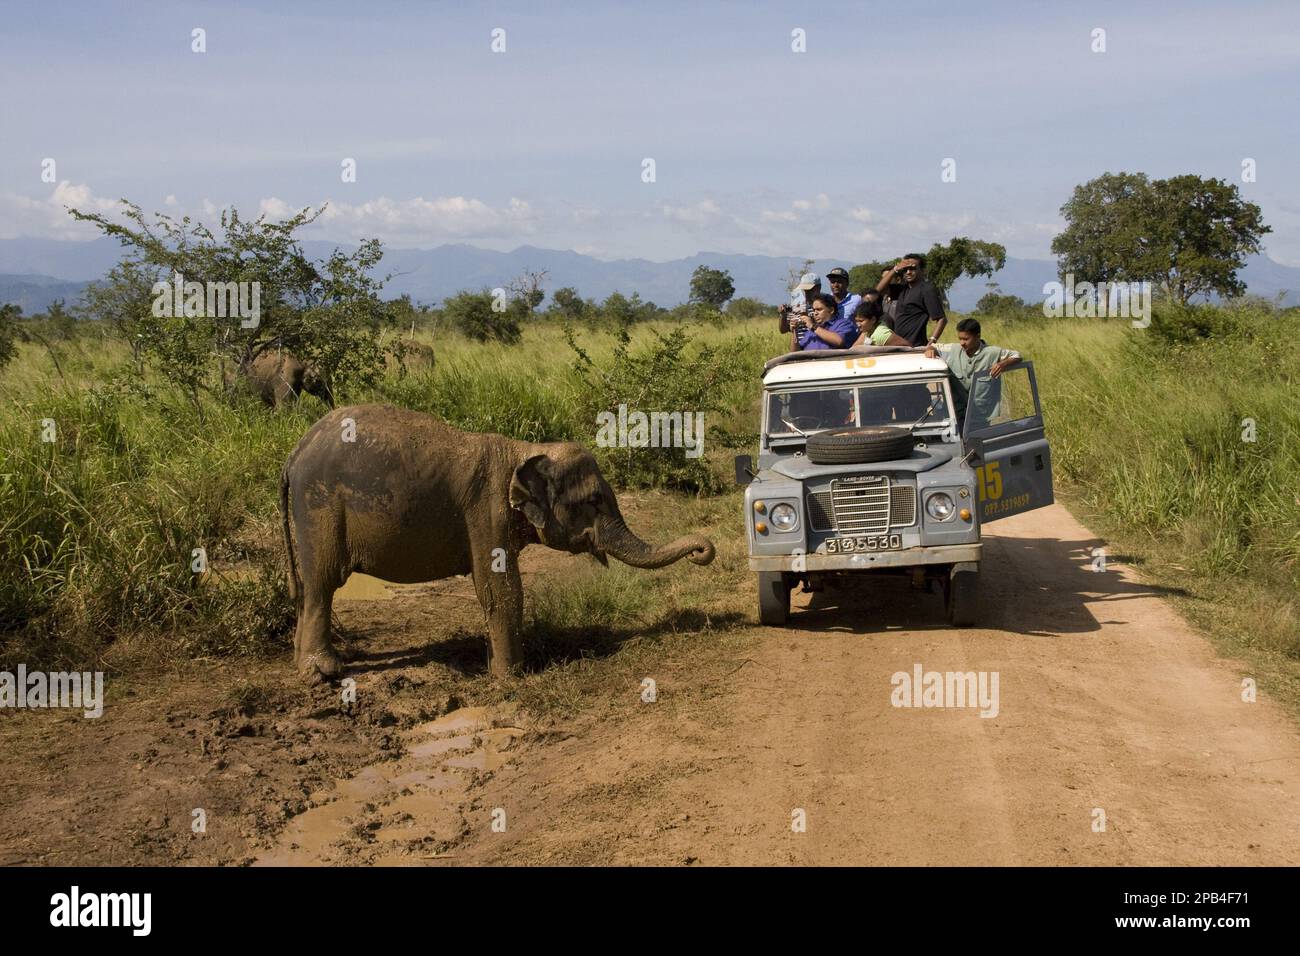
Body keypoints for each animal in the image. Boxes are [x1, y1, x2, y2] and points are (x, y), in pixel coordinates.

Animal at [279, 404, 715, 681]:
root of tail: (295, 451)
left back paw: (305, 665)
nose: (702, 552)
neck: (522, 450)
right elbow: (499, 588)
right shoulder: (486, 511)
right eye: (594, 500)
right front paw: (513, 678)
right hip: (319, 506)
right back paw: (323, 674)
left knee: (310, 589)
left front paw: (497, 671)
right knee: (324, 582)